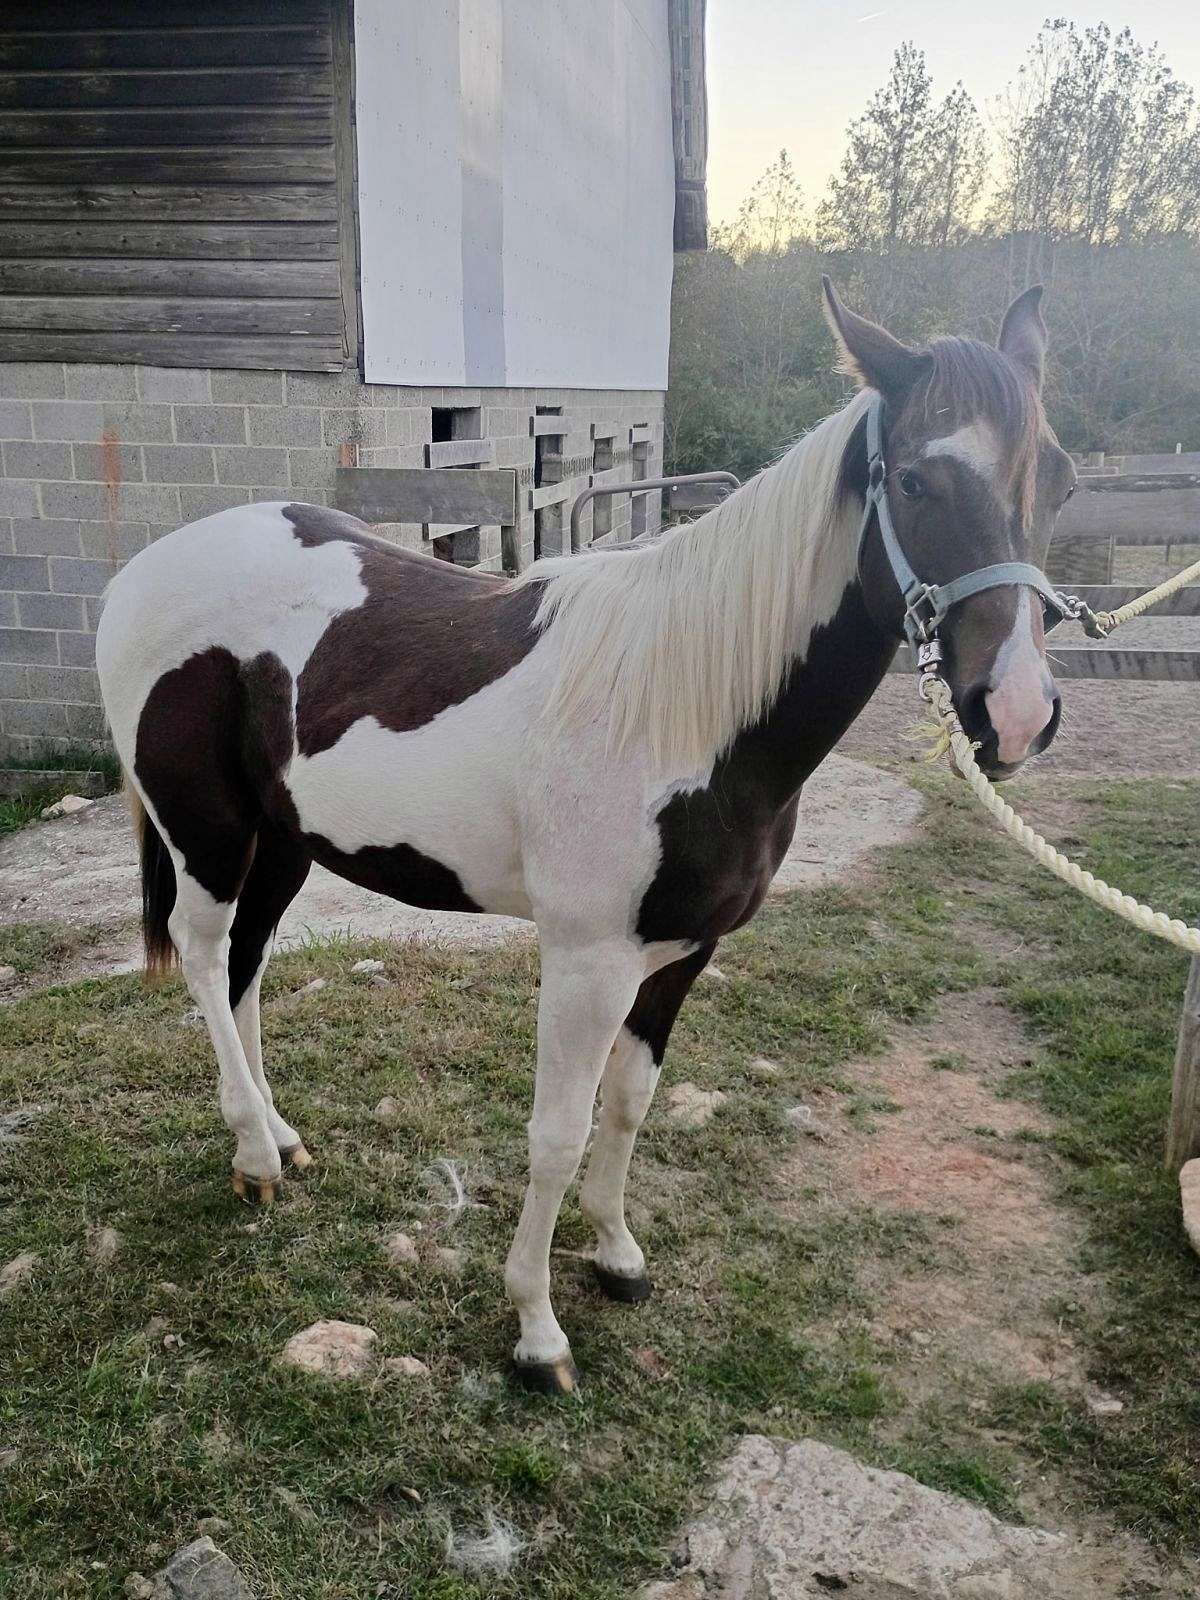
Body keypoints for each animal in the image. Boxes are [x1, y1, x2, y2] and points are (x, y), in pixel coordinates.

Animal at [95, 281, 1076, 1393]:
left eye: (1055, 478)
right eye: (913, 479)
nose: (1017, 713)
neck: (686, 713)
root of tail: (142, 573)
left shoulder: (682, 952)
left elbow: (629, 1105)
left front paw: (615, 1256)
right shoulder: (587, 962)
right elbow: (558, 1134)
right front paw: (535, 1330)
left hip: (287, 839)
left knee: (248, 966)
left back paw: (279, 1138)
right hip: (207, 832)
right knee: (205, 957)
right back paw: (255, 1154)